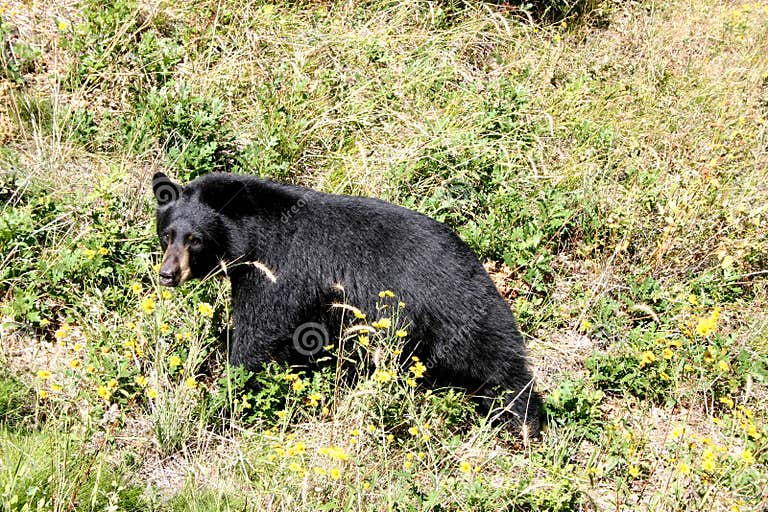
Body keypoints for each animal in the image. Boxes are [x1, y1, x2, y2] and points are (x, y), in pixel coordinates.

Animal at [153, 171, 542, 437]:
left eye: (195, 239)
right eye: (167, 235)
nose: (168, 273)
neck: (254, 237)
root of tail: (475, 262)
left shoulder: (280, 272)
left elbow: (260, 330)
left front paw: (227, 392)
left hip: (456, 313)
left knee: (499, 364)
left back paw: (525, 421)